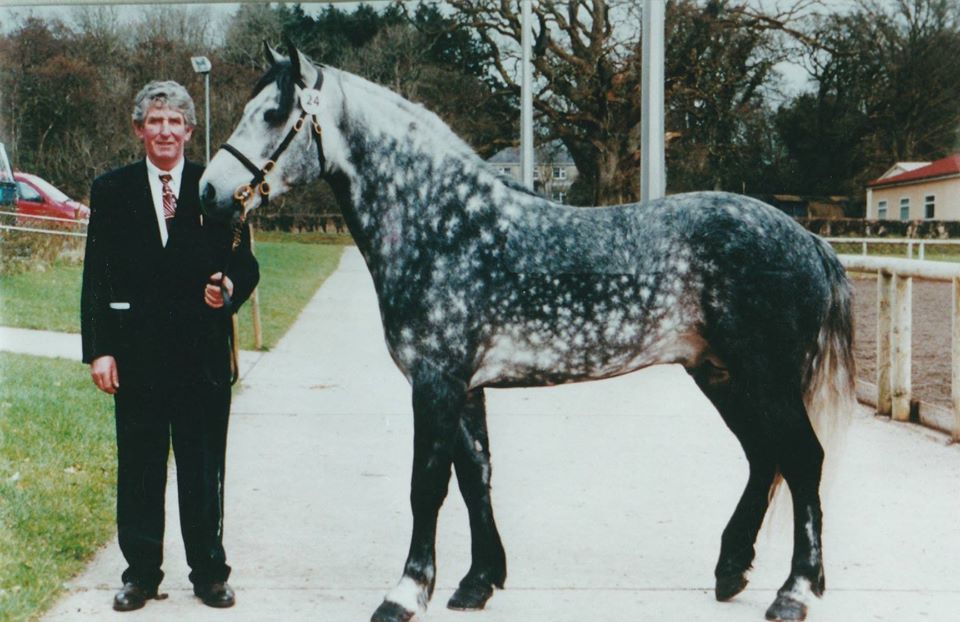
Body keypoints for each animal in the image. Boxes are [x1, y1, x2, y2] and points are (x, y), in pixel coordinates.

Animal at [199, 43, 856, 622]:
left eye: (273, 114)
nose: (209, 192)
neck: (443, 225)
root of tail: (810, 240)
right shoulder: (464, 386)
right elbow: (476, 478)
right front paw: (477, 582)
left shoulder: (435, 383)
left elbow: (426, 486)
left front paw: (405, 595)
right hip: (720, 374)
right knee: (765, 457)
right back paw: (732, 569)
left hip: (764, 377)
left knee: (803, 459)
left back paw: (794, 592)